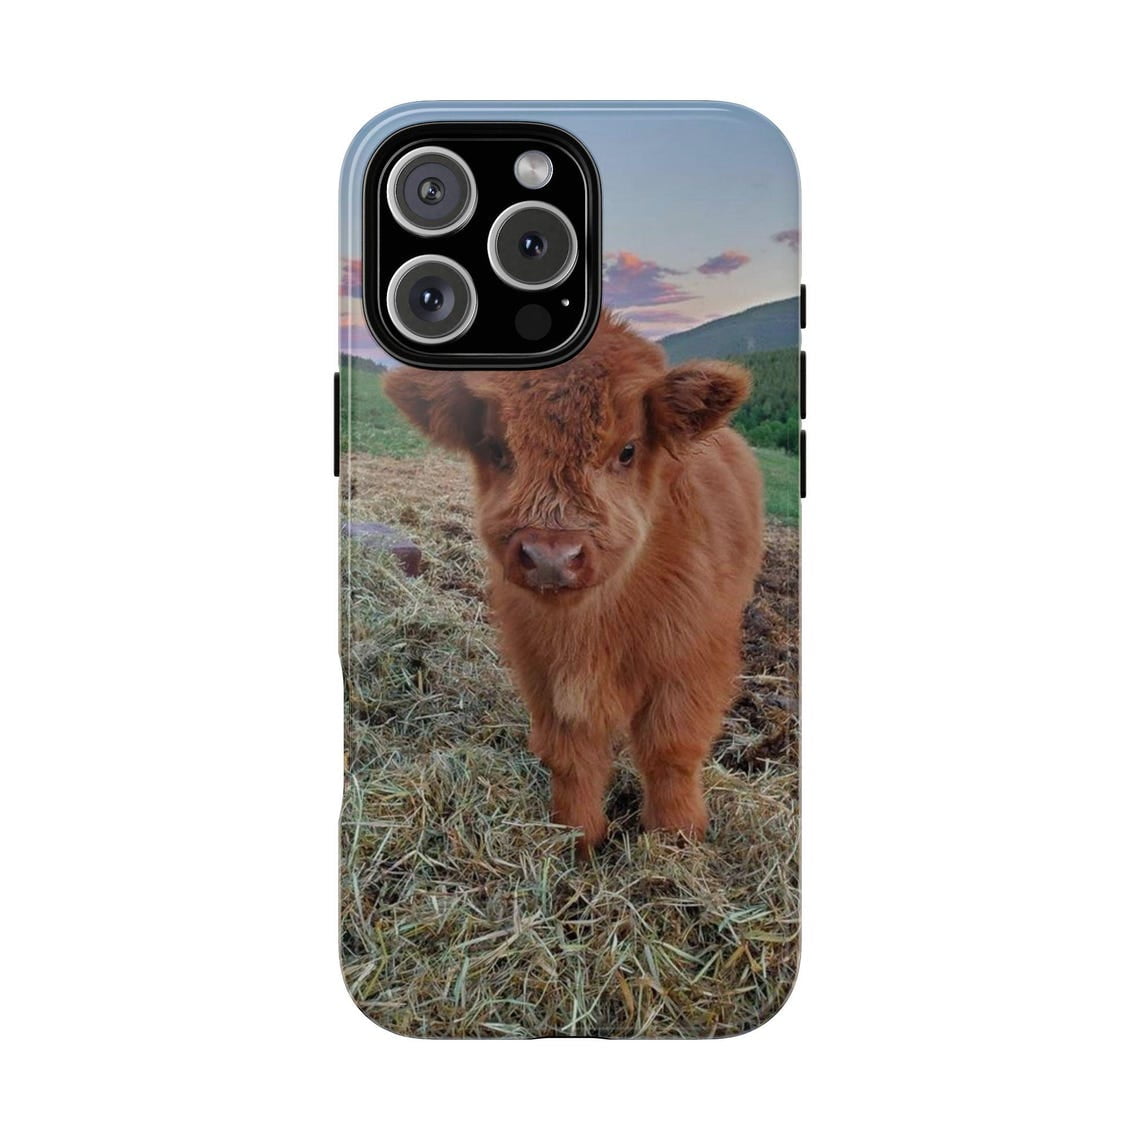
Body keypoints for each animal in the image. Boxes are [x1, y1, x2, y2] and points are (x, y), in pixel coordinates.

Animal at [385, 311, 764, 854]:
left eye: (627, 450)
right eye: (497, 449)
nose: (551, 557)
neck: (595, 626)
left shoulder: (691, 661)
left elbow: (670, 748)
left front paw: (676, 839)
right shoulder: (543, 668)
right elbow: (570, 755)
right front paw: (577, 839)